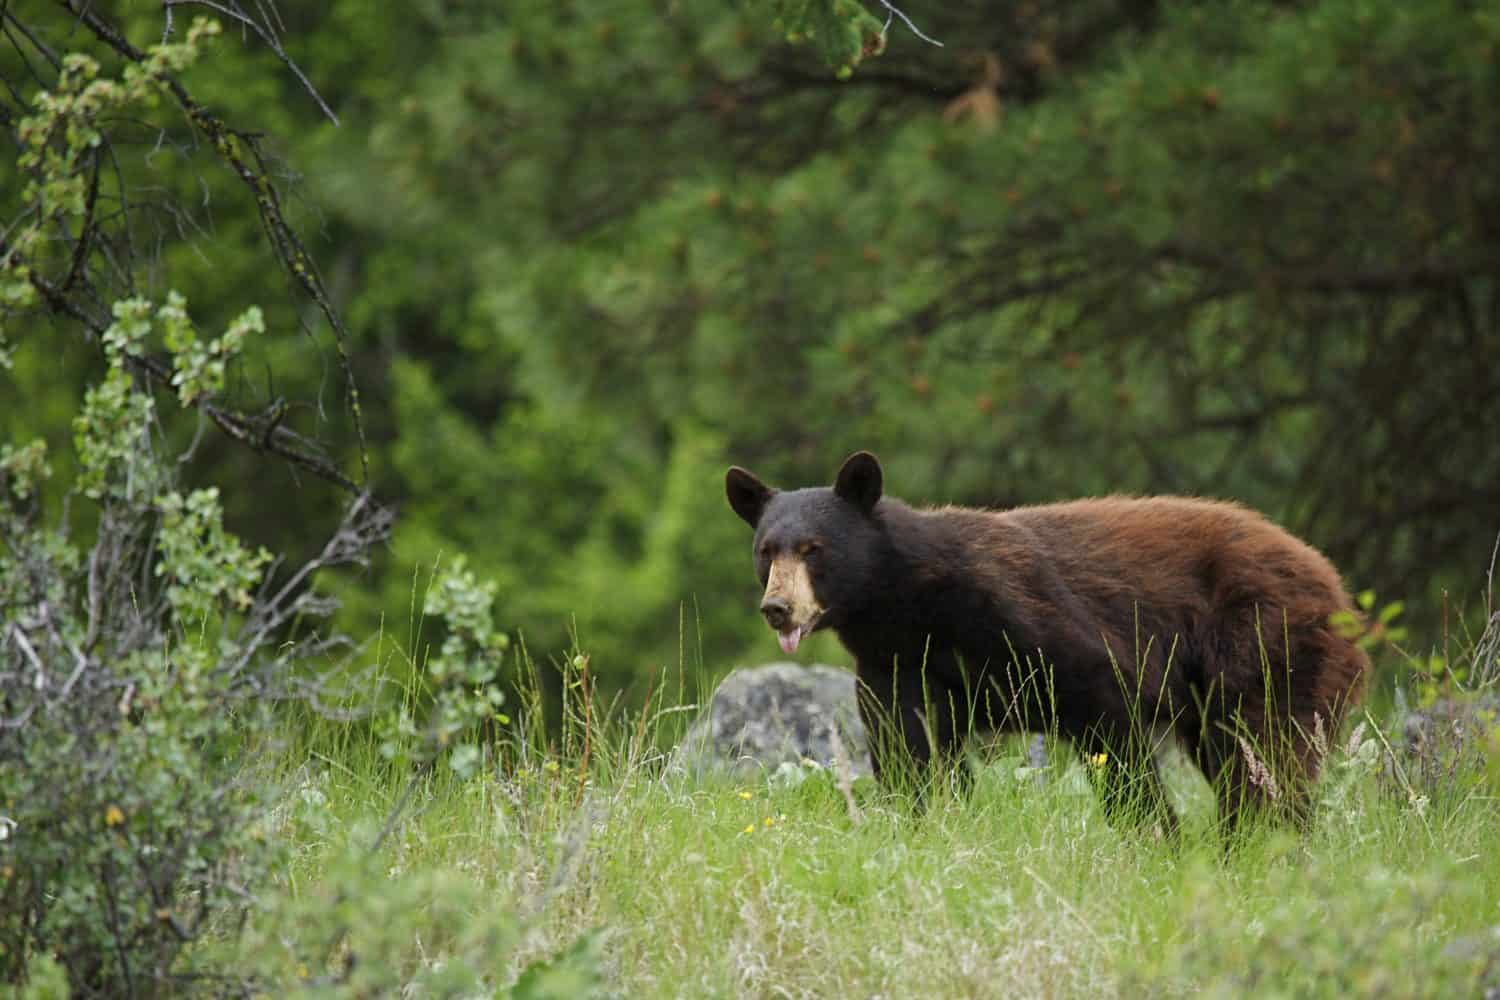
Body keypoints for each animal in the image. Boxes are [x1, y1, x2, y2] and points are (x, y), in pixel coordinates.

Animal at [725, 450, 1369, 834]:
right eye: (766, 551)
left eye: (814, 549)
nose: (778, 609)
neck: (910, 601)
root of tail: (1334, 583)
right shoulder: (895, 662)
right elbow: (907, 747)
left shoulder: (1027, 618)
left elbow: (1107, 712)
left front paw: (1154, 832)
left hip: (1264, 639)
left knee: (1262, 750)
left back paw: (1257, 841)